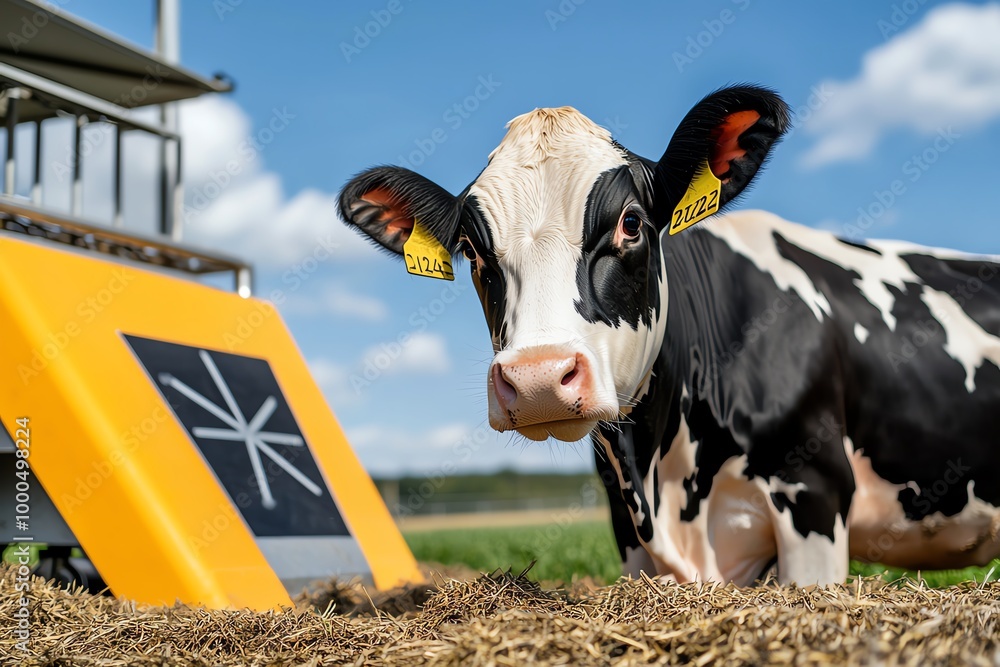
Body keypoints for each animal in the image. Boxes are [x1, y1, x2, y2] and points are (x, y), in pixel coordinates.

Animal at [338, 85, 1000, 585]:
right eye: (472, 250)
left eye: (632, 223)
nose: (537, 379)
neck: (663, 475)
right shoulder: (627, 523)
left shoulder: (814, 492)